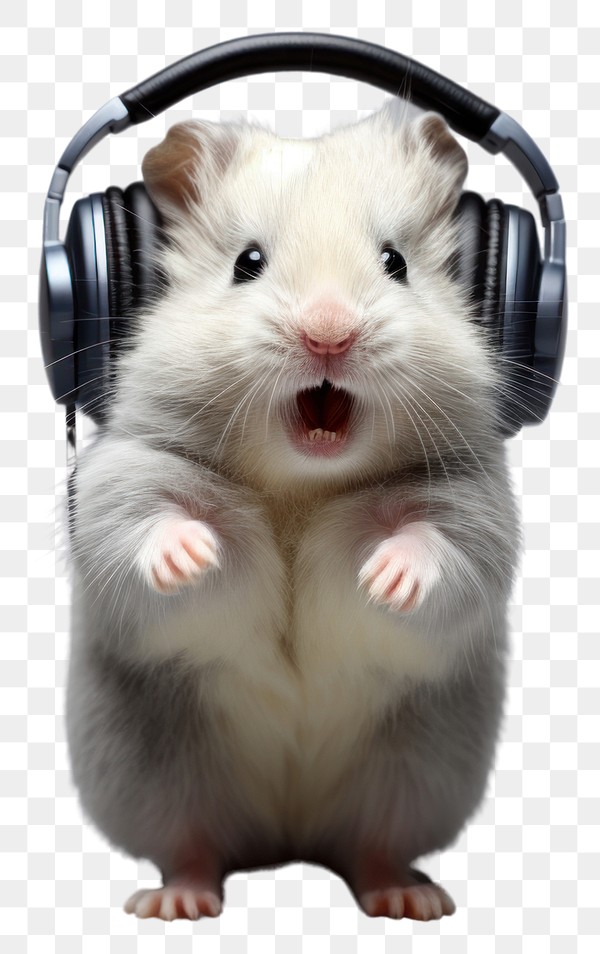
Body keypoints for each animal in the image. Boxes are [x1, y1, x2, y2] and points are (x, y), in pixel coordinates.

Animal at [65, 100, 521, 922]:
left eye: (396, 262)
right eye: (247, 262)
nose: (328, 332)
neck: (299, 482)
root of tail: (288, 836)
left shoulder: (473, 499)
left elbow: (437, 544)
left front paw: (386, 579)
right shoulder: (123, 475)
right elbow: (148, 526)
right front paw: (193, 555)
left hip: (414, 774)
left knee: (375, 844)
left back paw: (406, 899)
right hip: (154, 775)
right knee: (190, 843)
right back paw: (177, 904)